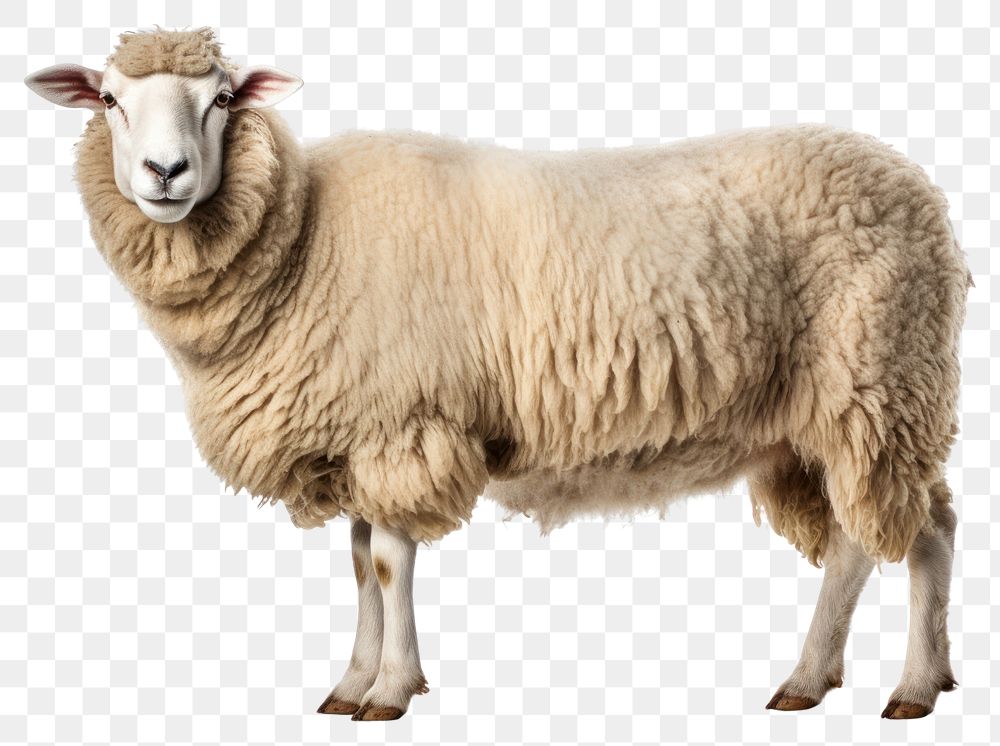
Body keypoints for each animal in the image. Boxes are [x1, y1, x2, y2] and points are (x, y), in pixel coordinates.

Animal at [24, 27, 970, 721]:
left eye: (222, 98)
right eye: (109, 99)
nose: (166, 174)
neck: (303, 240)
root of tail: (920, 190)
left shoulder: (404, 419)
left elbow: (387, 564)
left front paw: (389, 692)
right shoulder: (359, 433)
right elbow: (359, 561)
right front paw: (350, 682)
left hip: (881, 380)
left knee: (921, 533)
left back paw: (914, 688)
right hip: (825, 413)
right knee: (860, 543)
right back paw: (813, 681)